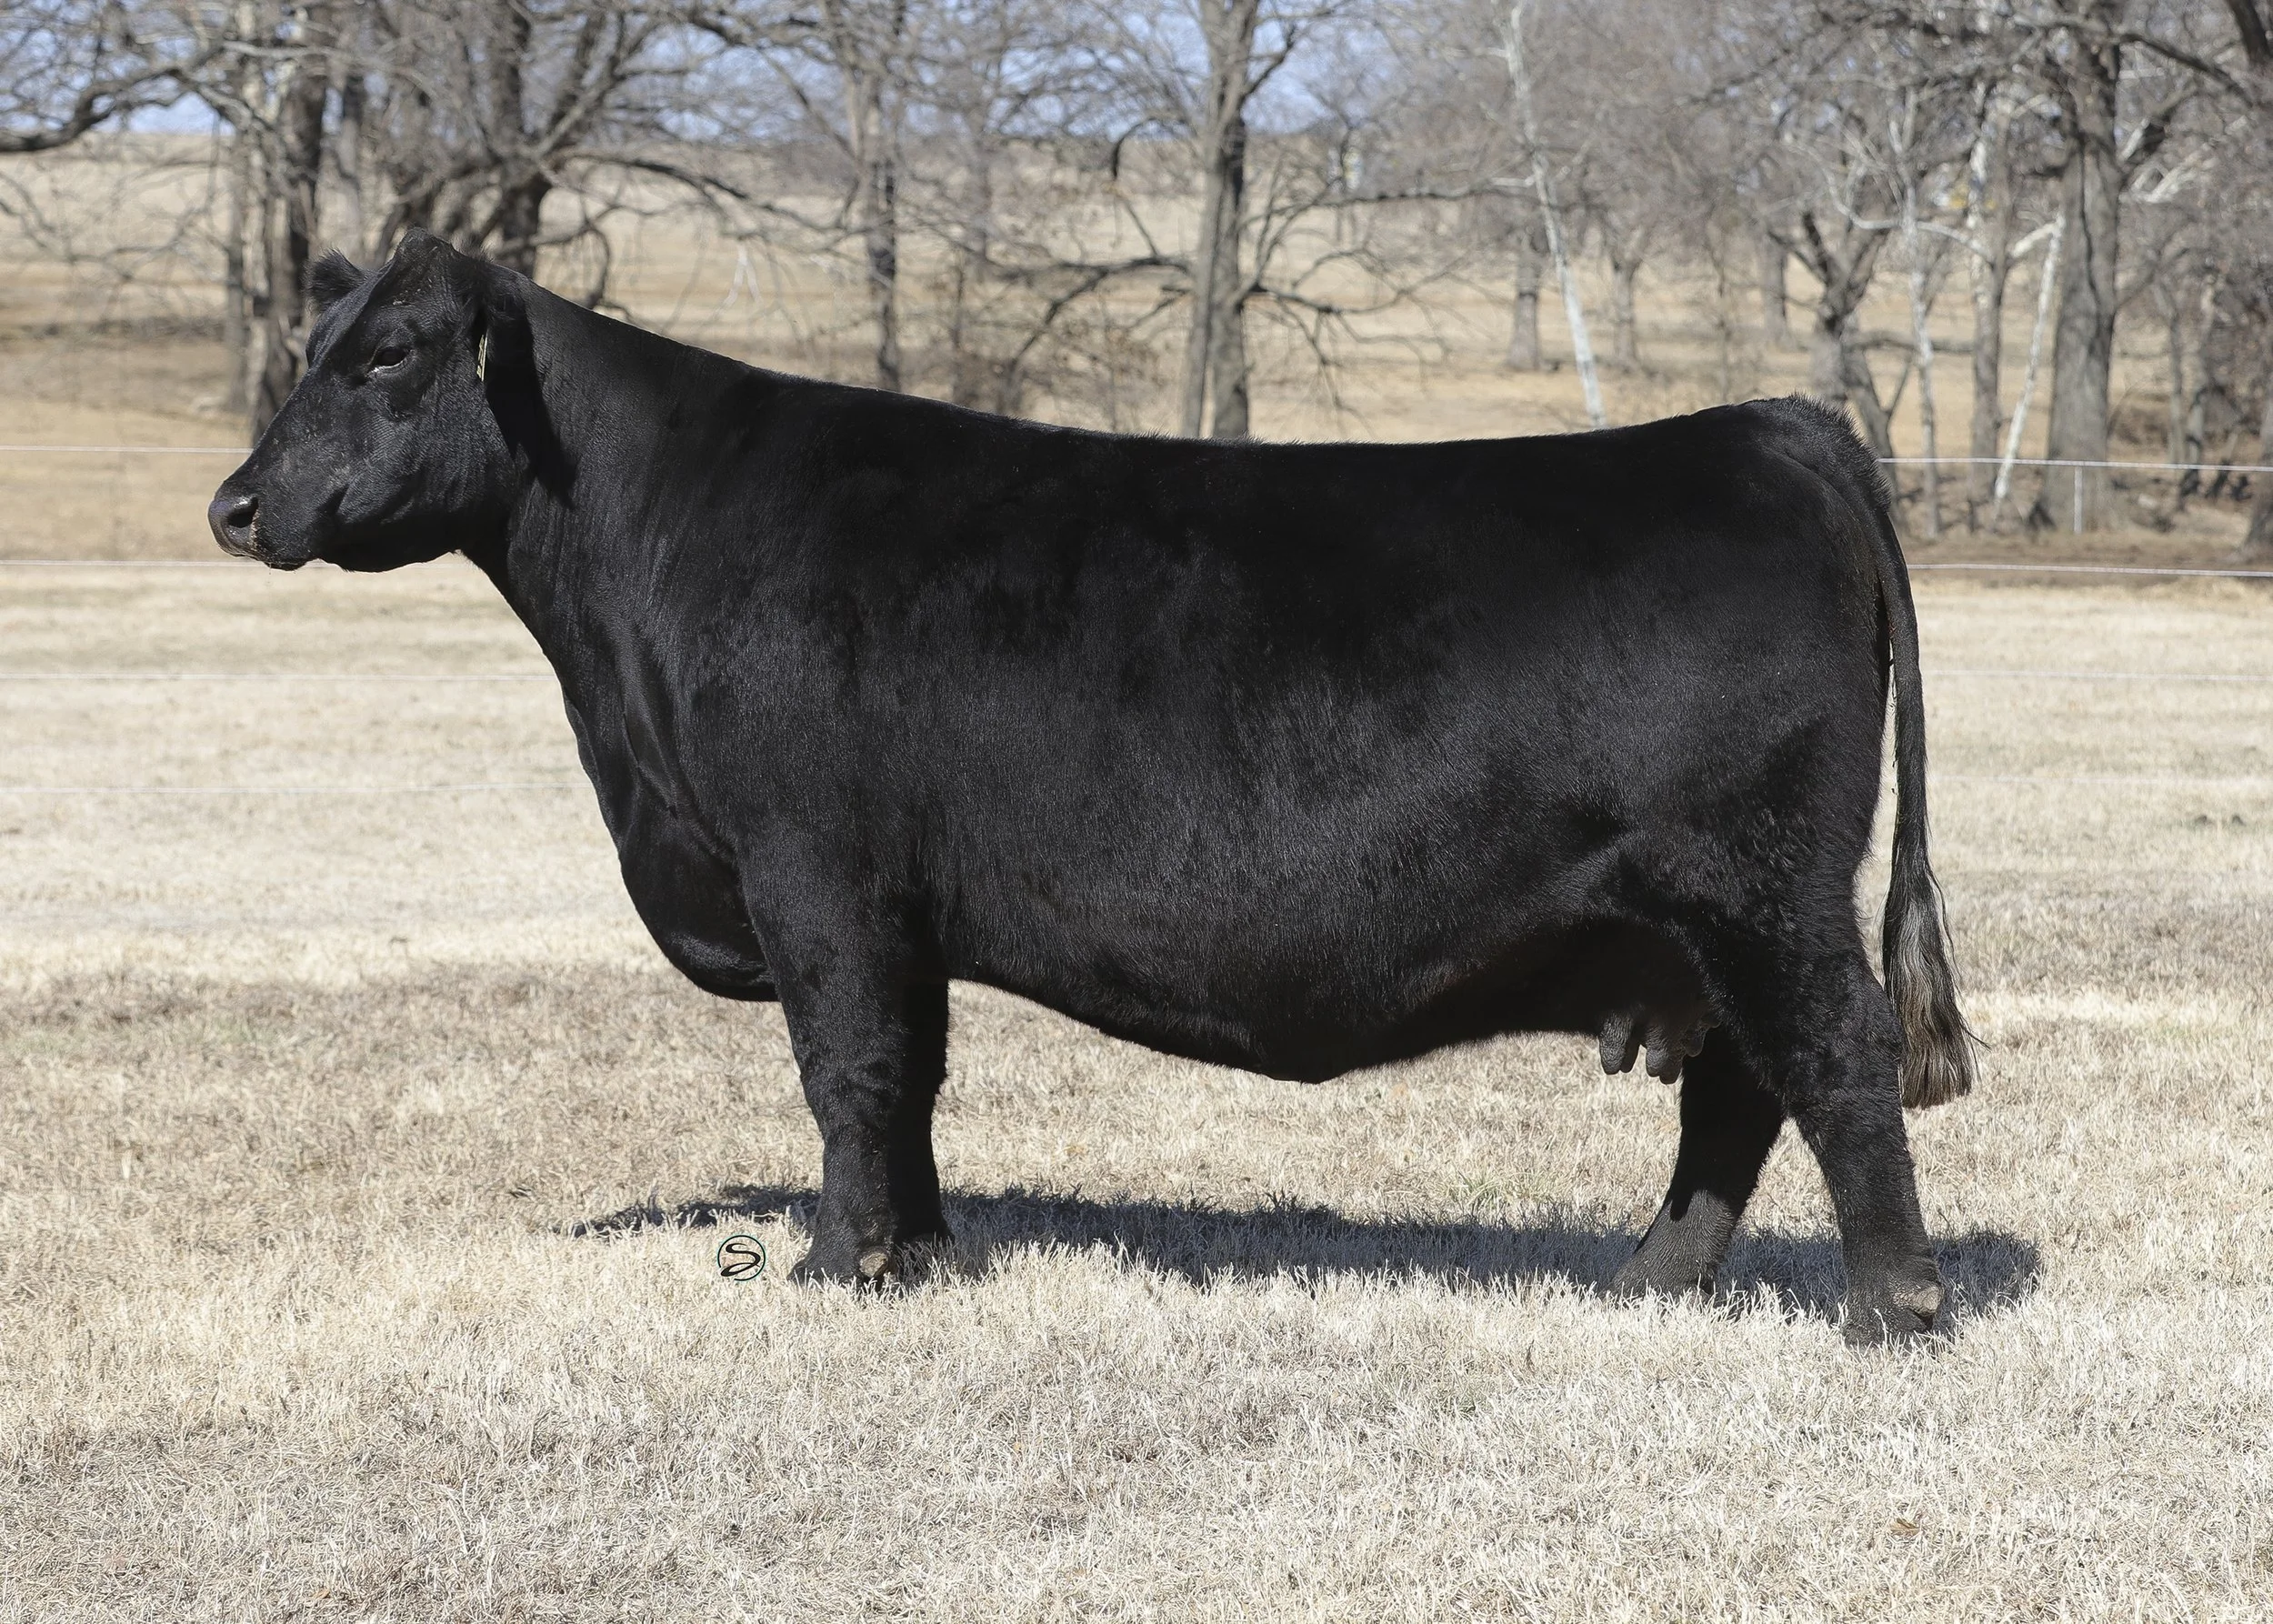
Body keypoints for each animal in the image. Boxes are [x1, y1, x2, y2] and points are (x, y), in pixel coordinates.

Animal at [210, 231, 1974, 1341]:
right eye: (313, 348)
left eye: (387, 356)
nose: (235, 504)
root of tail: (1778, 425)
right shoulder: (899, 907)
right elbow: (911, 1081)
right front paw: (920, 1255)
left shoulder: (813, 872)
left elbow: (846, 1073)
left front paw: (835, 1268)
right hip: (1700, 917)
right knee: (1738, 1089)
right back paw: (1648, 1281)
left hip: (1759, 885)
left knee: (1830, 1057)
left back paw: (1892, 1307)